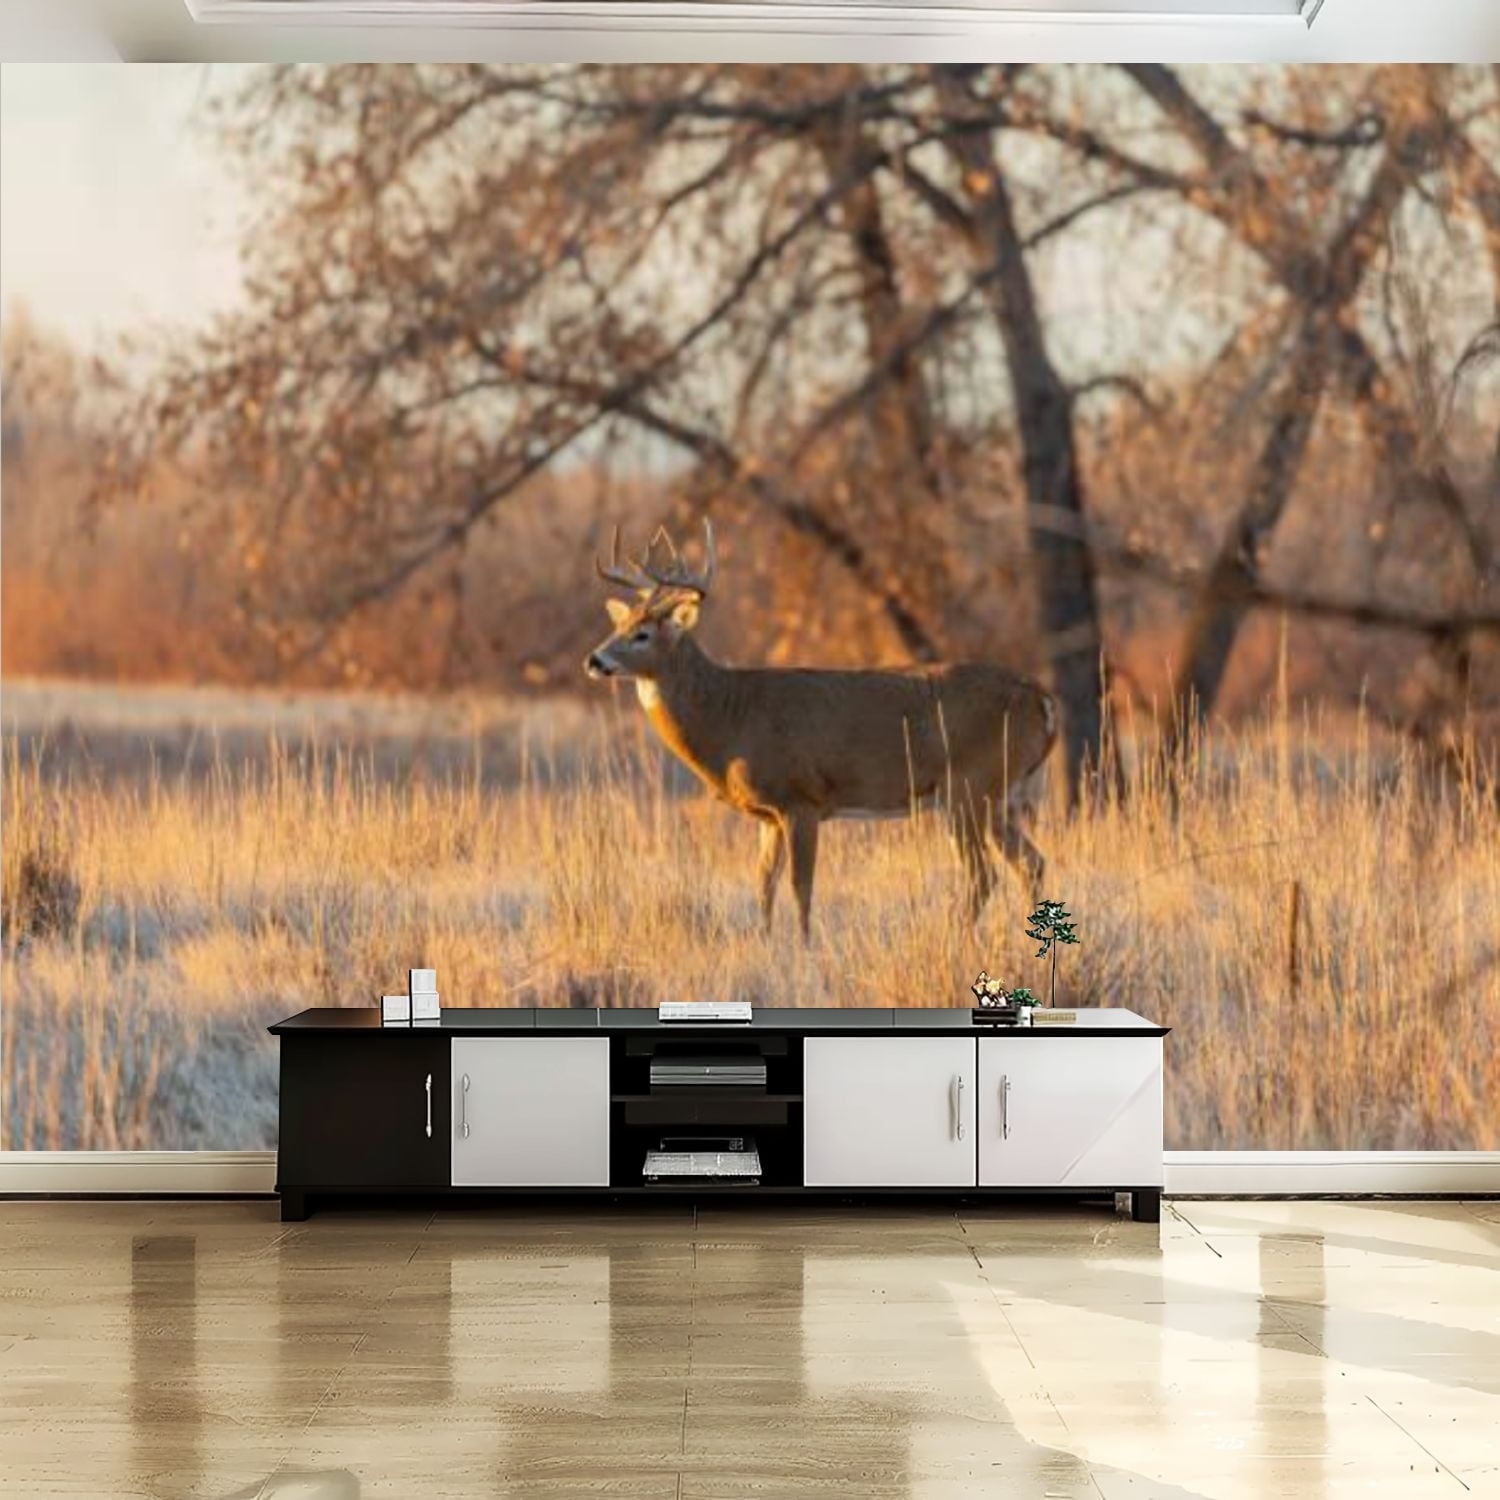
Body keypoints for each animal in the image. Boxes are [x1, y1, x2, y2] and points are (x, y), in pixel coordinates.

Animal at [584, 521, 1056, 941]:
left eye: (643, 634)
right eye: (616, 627)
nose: (594, 660)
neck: (731, 718)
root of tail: (1041, 699)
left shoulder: (802, 799)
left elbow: (800, 886)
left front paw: (805, 949)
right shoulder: (768, 814)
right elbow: (763, 886)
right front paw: (766, 944)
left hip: (968, 787)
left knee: (984, 873)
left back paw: (956, 937)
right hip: (999, 794)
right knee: (1032, 863)